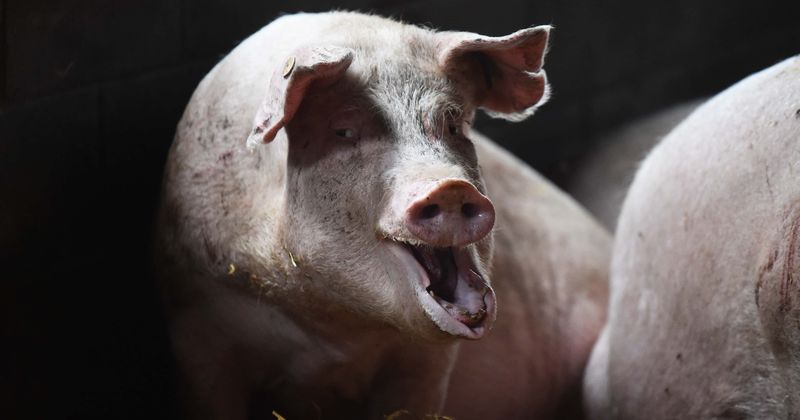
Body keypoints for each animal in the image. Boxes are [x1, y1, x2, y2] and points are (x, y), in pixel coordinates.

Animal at [155, 11, 610, 420]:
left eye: (453, 124)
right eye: (344, 132)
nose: (450, 187)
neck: (334, 328)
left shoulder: (429, 362)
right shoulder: (194, 332)